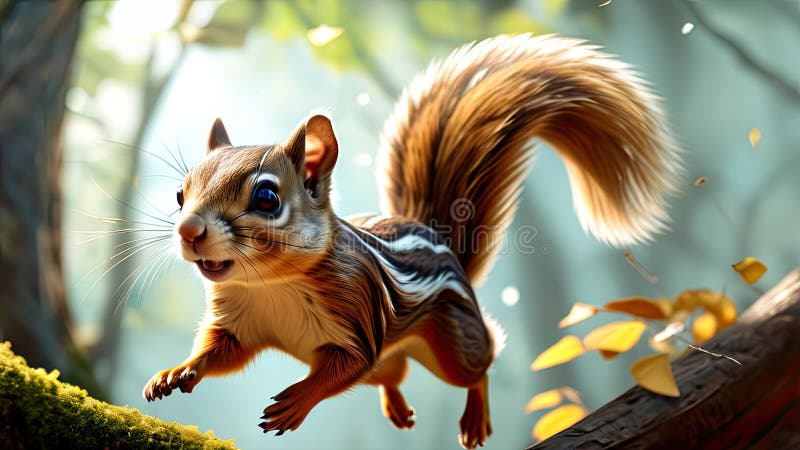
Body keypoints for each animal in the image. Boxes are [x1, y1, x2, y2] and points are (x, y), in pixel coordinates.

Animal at [142, 34, 681, 448]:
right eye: (180, 194)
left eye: (267, 197)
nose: (189, 231)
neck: (270, 285)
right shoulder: (238, 322)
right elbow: (221, 353)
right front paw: (175, 373)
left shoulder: (356, 315)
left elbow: (344, 365)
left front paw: (297, 400)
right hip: (396, 356)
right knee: (391, 374)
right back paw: (397, 408)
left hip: (453, 343)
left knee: (479, 366)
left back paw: (474, 418)